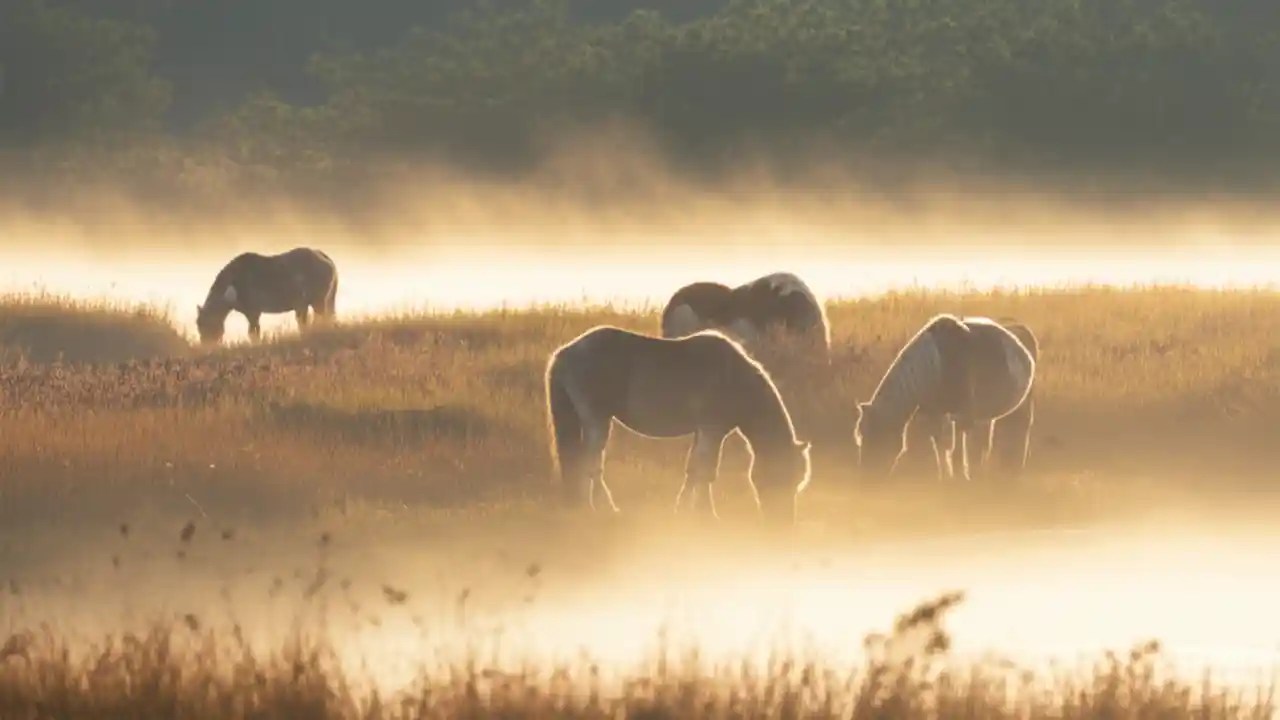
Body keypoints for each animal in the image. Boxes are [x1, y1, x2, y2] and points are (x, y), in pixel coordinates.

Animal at [196, 248, 338, 345]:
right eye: (198, 325)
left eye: (205, 324)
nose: (205, 346)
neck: (234, 282)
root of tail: (325, 258)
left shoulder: (253, 313)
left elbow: (253, 333)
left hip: (318, 302)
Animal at [545, 326, 812, 523]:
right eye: (783, 475)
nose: (784, 522)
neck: (733, 378)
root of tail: (565, 352)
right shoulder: (712, 430)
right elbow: (706, 471)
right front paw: (707, 513)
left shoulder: (702, 431)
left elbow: (693, 469)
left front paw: (683, 510)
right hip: (597, 421)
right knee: (590, 463)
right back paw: (602, 508)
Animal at [854, 314, 1036, 482]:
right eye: (862, 437)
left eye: (877, 438)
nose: (867, 478)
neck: (939, 365)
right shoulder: (935, 414)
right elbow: (941, 446)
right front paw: (944, 478)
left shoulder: (963, 415)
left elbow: (958, 450)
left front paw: (961, 479)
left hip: (1024, 405)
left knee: (1023, 432)